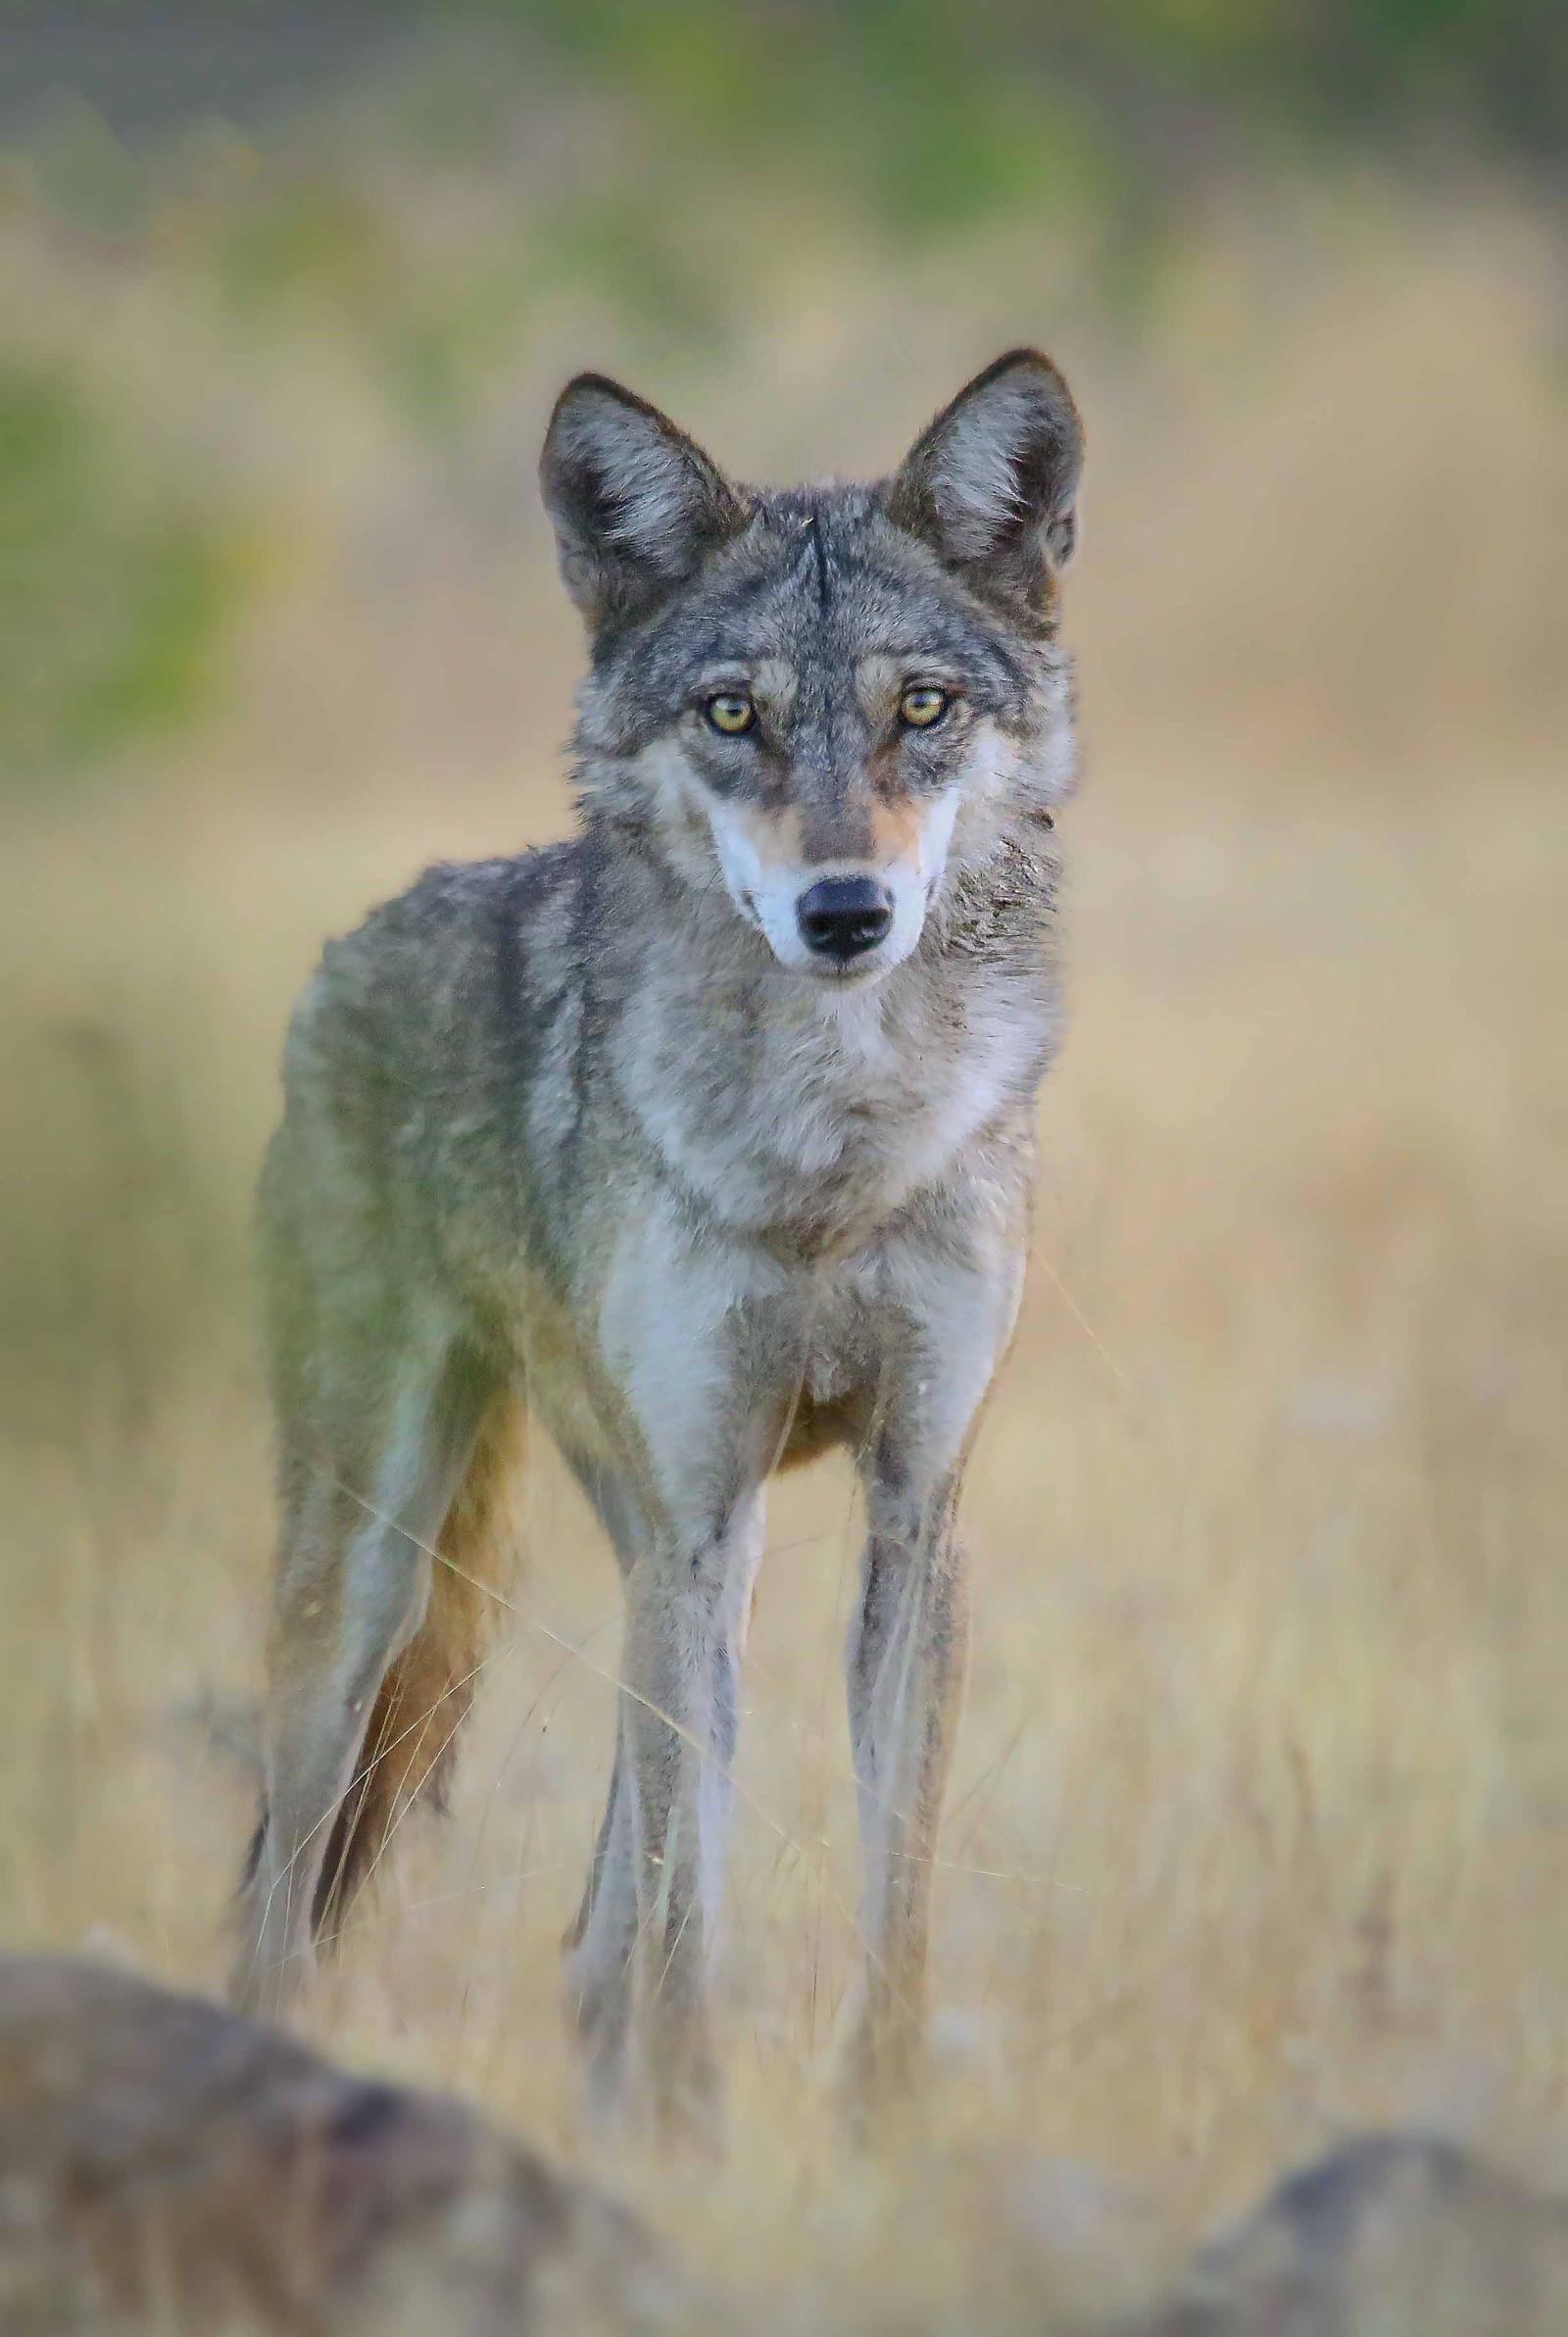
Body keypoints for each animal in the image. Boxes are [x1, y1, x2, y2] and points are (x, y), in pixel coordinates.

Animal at [230, 349, 1085, 2127]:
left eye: (921, 708)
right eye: (731, 714)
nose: (845, 911)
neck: (832, 1145)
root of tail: (352, 942)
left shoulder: (914, 1508)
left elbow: (886, 1880)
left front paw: (874, 2121)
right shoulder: (698, 1506)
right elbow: (698, 1890)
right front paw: (695, 2127)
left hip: (682, 1547)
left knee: (592, 1909)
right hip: (380, 1569)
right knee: (285, 1877)